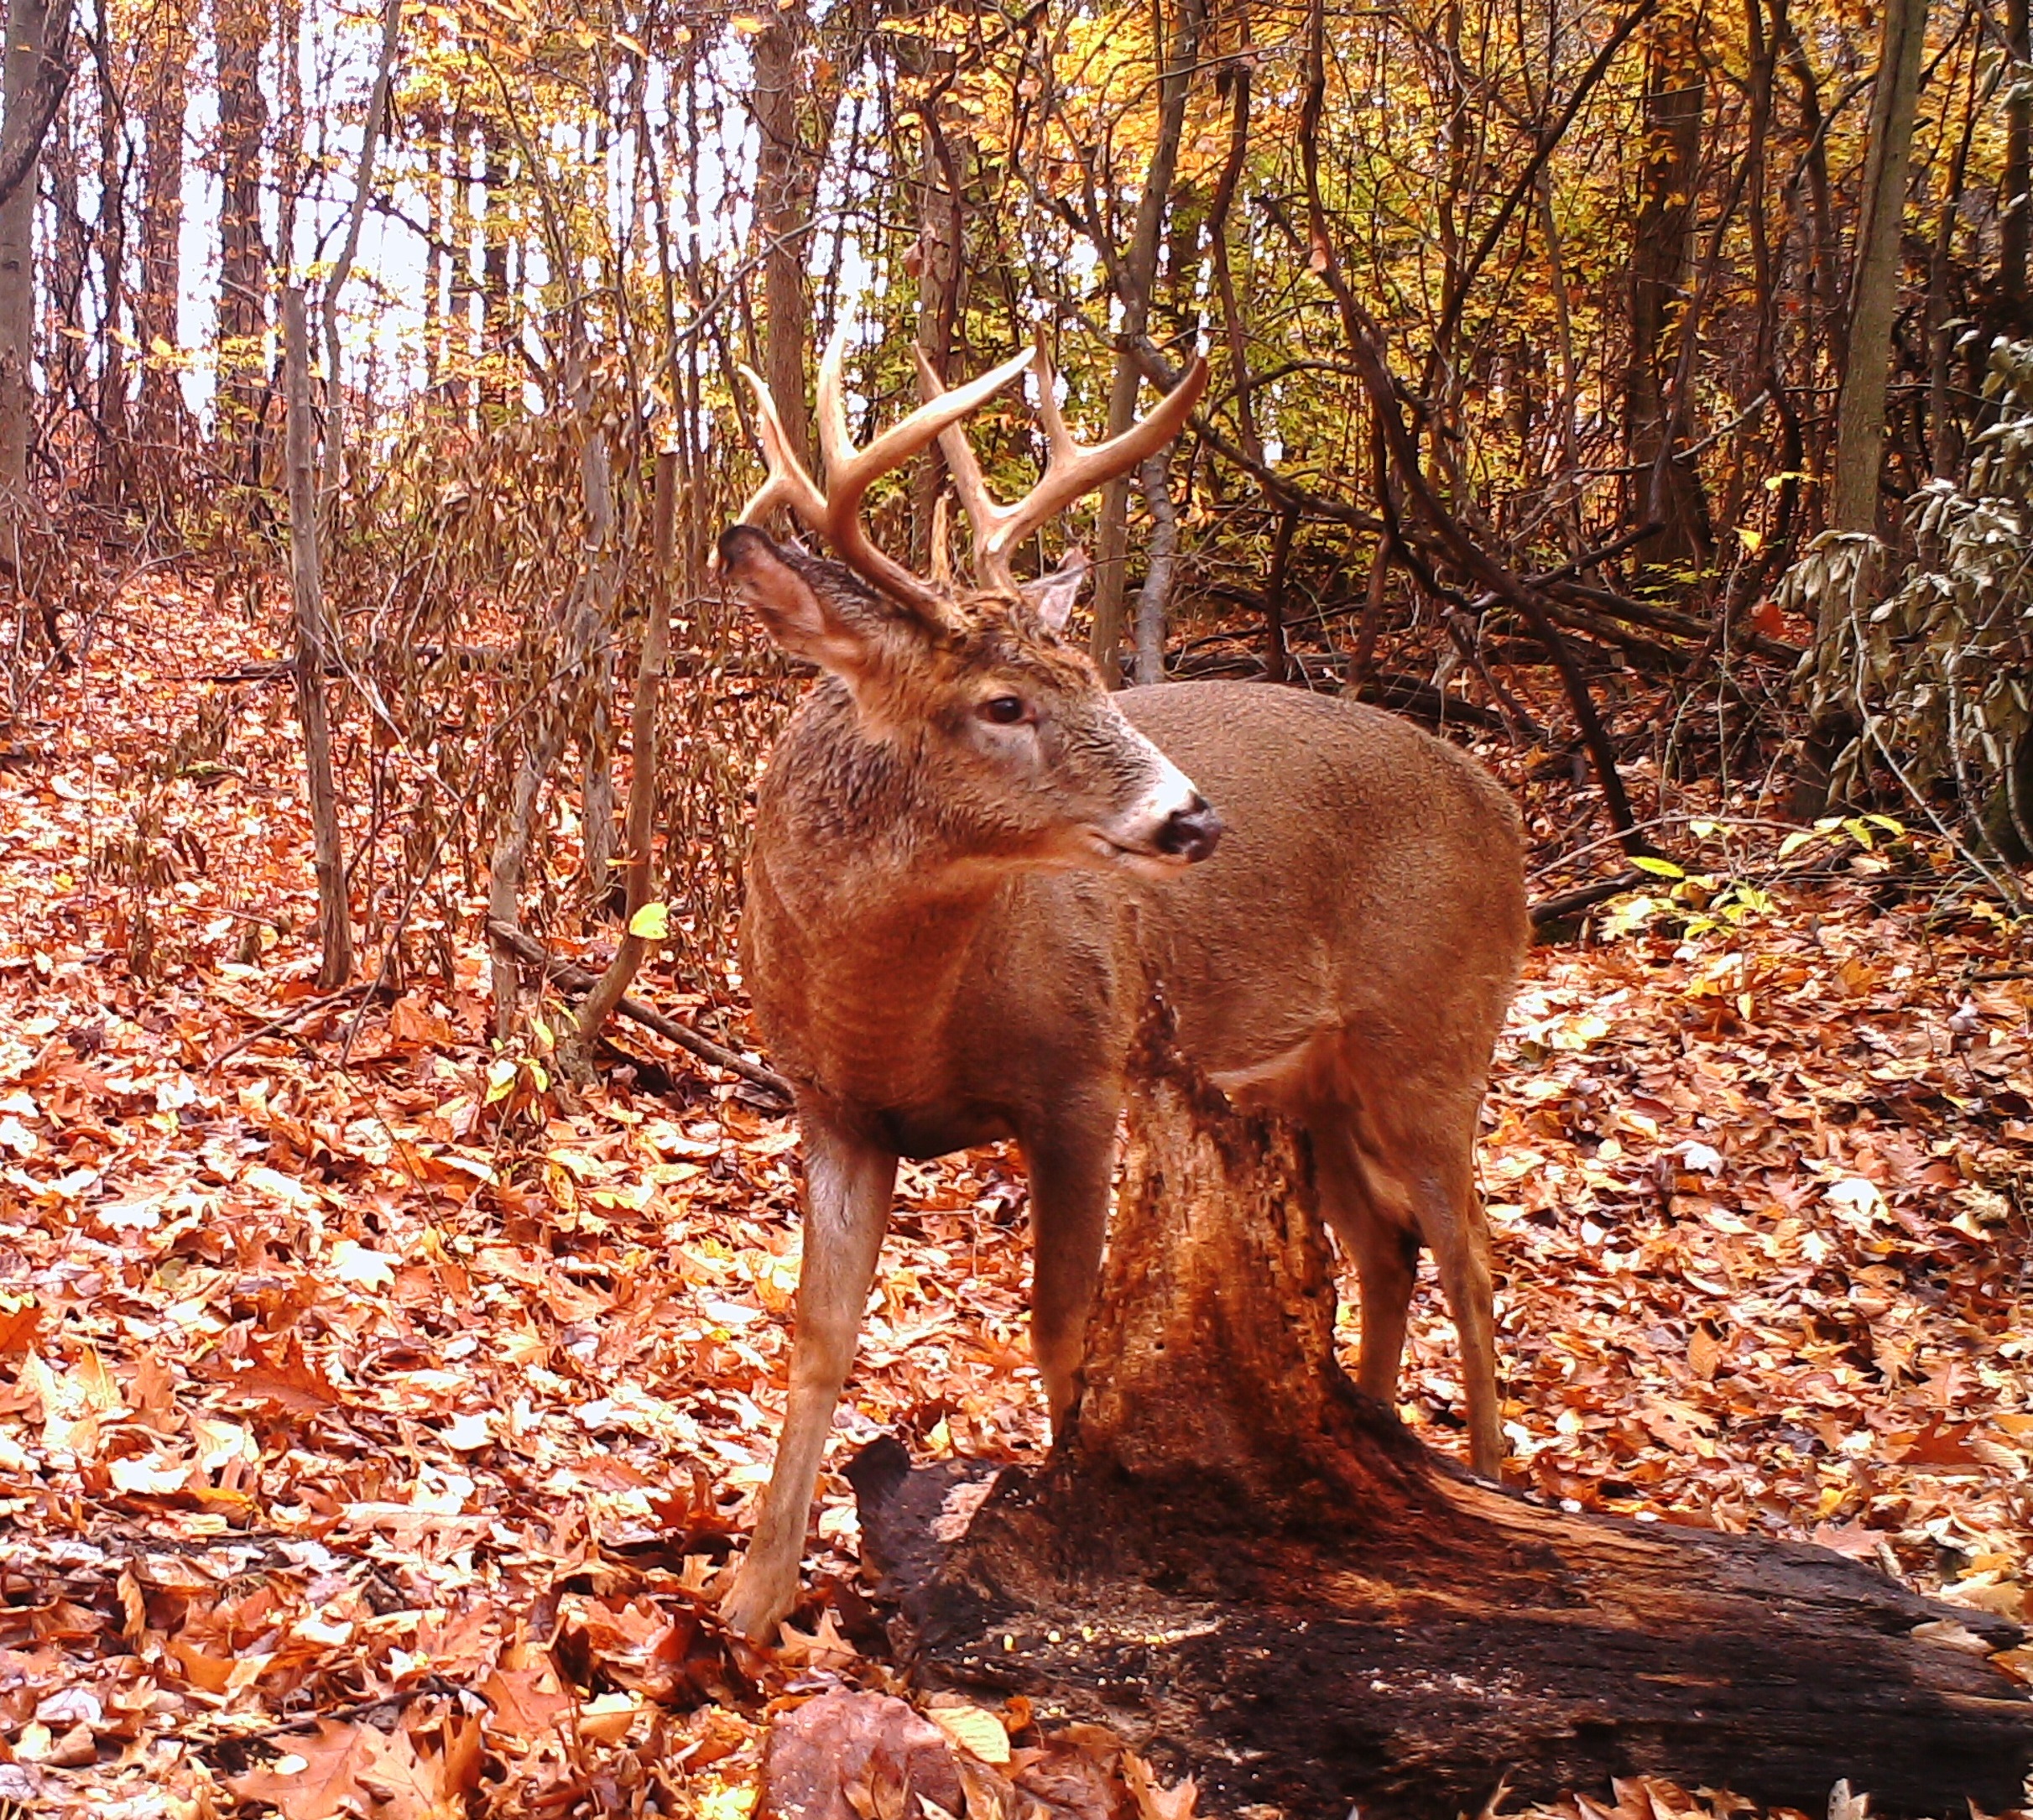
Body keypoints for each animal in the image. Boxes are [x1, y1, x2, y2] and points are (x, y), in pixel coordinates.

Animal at [713, 326, 1529, 1641]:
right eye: (1002, 701)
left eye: (1095, 678)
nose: (1194, 819)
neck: (900, 1009)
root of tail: (1502, 805)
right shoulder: (831, 1108)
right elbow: (817, 1336)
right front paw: (750, 1600)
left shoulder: (1080, 1078)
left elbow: (1063, 1327)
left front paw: (1066, 1540)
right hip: (1314, 1085)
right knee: (1384, 1247)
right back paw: (1373, 1450)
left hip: (1434, 1040)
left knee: (1471, 1258)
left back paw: (1495, 1488)